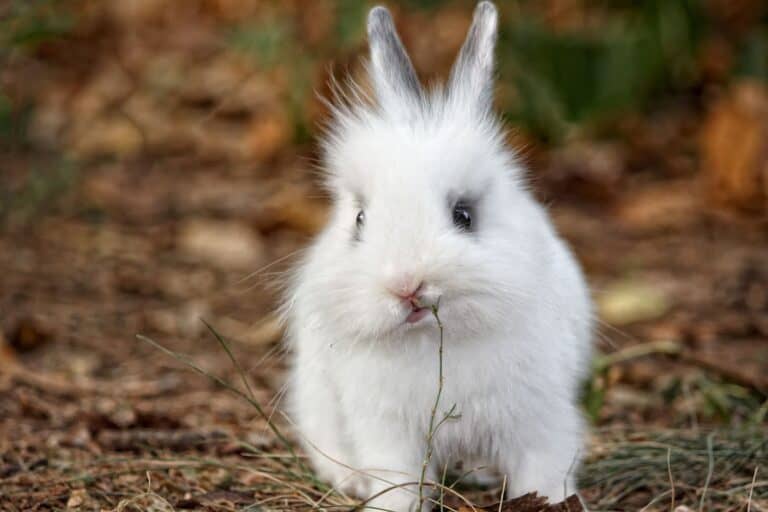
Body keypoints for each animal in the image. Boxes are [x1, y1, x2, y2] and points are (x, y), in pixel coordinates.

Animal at [285, 2, 593, 511]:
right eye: (360, 220)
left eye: (463, 215)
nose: (406, 285)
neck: (433, 340)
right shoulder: (388, 433)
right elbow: (399, 481)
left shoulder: (541, 420)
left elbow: (542, 471)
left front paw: (549, 498)